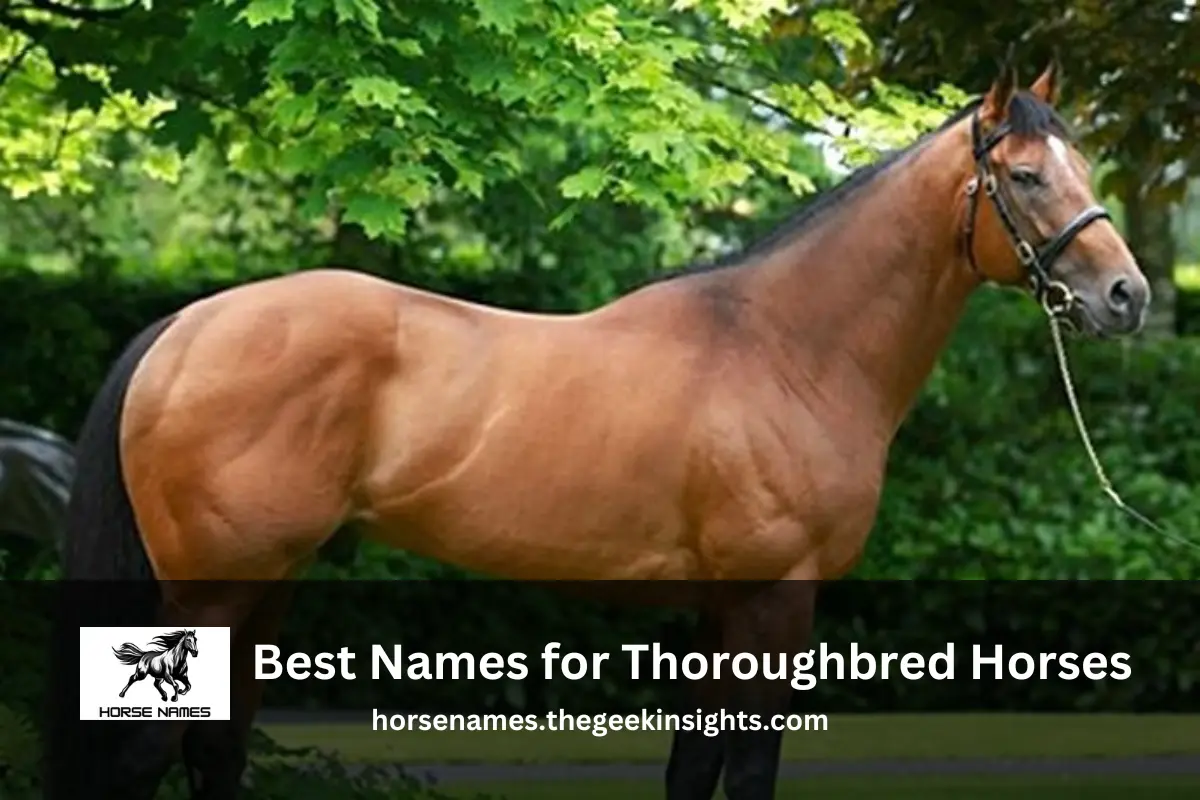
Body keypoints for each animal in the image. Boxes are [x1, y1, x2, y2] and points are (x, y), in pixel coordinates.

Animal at [46, 55, 1150, 800]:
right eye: (1025, 177)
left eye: (1087, 166)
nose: (1127, 297)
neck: (786, 348)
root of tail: (186, 325)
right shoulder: (774, 601)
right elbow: (748, 770)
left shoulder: (717, 611)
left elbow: (693, 770)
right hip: (217, 589)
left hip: (264, 586)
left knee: (215, 748)